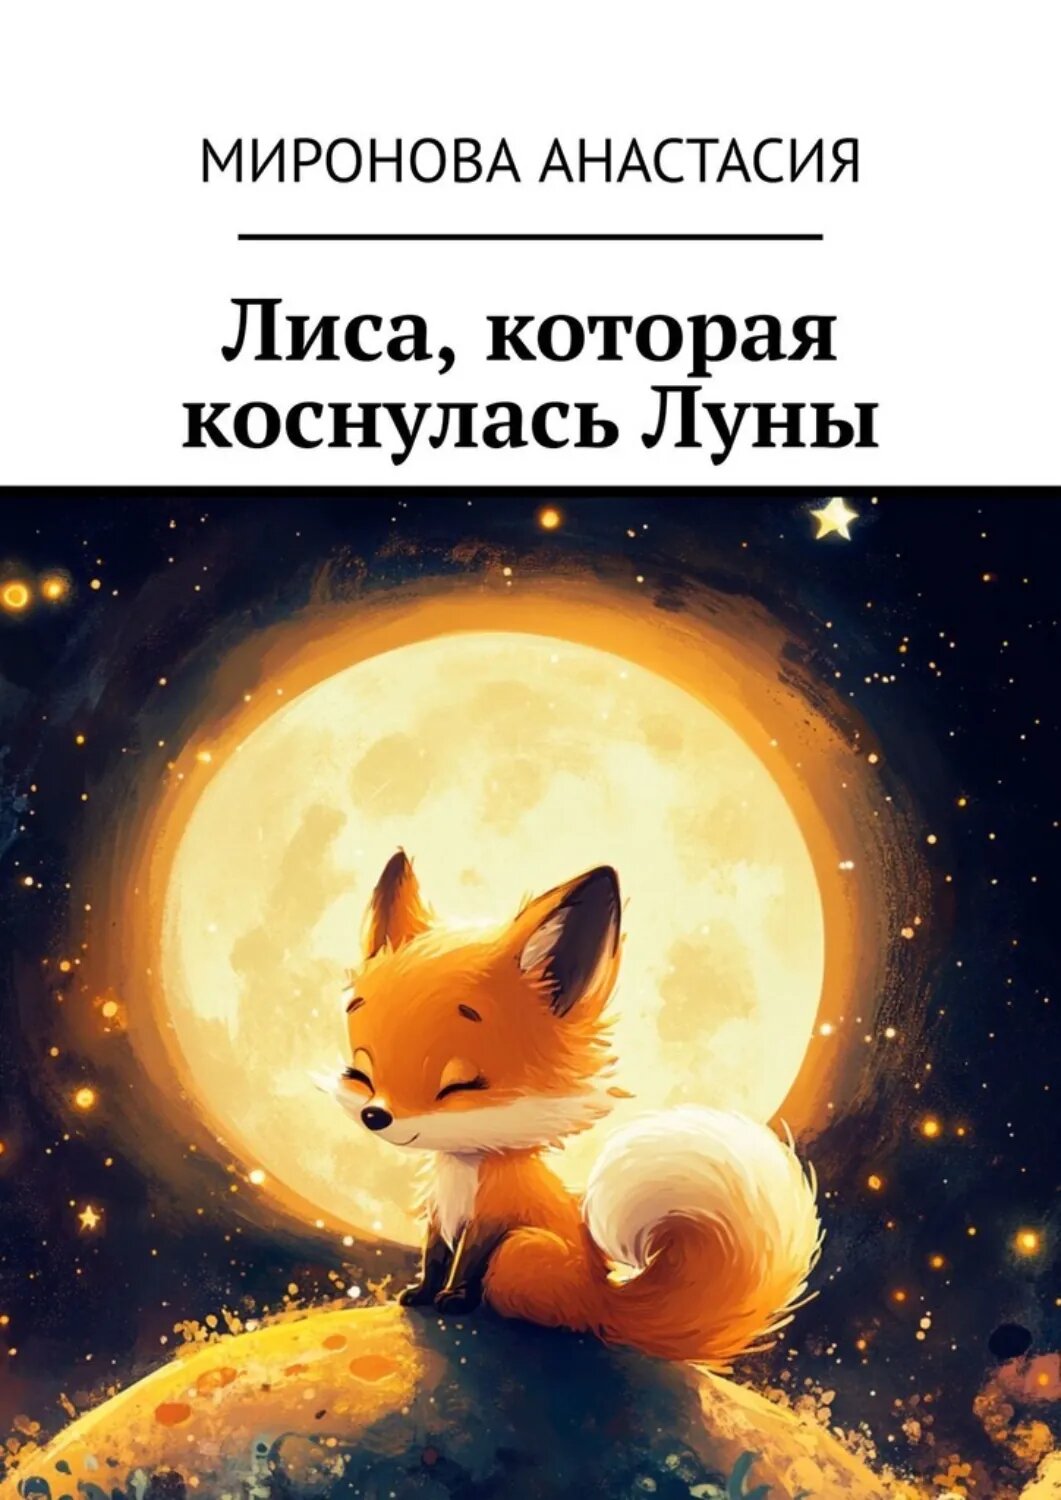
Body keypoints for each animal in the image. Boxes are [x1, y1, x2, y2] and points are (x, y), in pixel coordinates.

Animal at [321, 850, 822, 1368]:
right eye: (361, 1073)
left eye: (460, 1086)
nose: (376, 1116)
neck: (464, 1169)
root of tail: (602, 1298)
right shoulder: (441, 1215)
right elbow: (434, 1255)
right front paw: (421, 1293)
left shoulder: (493, 1218)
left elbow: (466, 1262)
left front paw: (454, 1299)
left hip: (522, 1250)